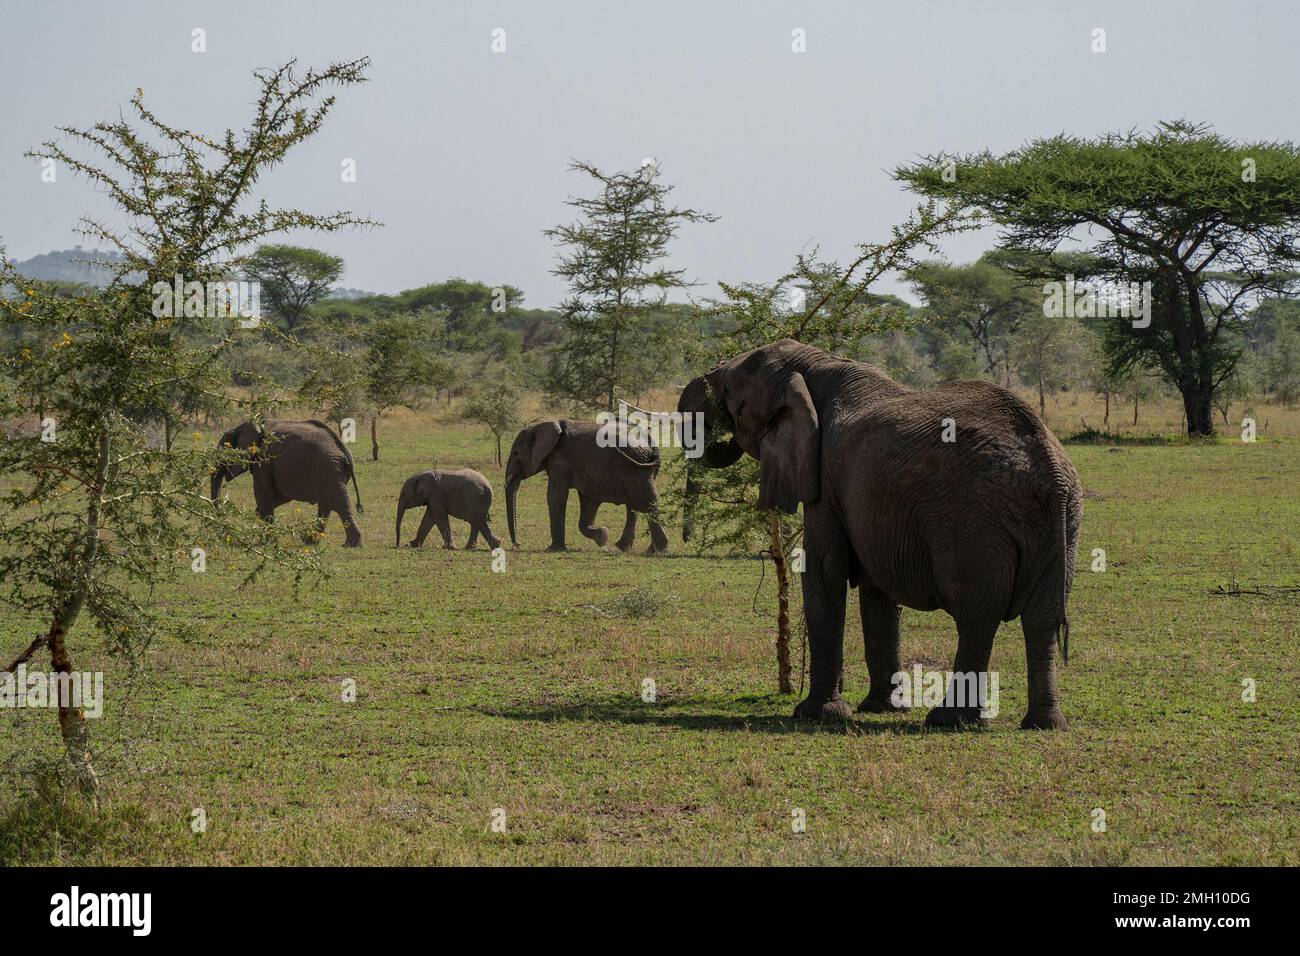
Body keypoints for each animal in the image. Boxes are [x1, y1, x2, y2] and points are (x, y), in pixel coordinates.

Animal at [211, 419, 364, 547]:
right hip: (333, 471)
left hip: (328, 468)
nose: (222, 535)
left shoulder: (263, 461)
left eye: (224, 446)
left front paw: (267, 543)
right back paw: (309, 541)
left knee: (339, 504)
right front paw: (259, 517)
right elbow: (280, 496)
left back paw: (350, 545)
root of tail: (344, 451)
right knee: (327, 505)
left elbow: (264, 495)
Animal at [504, 419, 669, 554]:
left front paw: (553, 549)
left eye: (516, 453)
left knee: (647, 501)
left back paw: (660, 550)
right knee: (634, 504)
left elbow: (556, 496)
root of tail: (650, 441)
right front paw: (602, 537)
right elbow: (588, 502)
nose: (517, 545)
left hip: (636, 466)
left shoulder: (559, 461)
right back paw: (631, 548)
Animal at [678, 339, 1082, 730]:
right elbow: (877, 589)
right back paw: (1044, 724)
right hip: (1065, 524)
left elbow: (824, 570)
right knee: (1042, 619)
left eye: (732, 396)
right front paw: (880, 708)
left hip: (975, 522)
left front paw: (817, 714)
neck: (814, 363)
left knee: (977, 615)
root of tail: (1050, 472)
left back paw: (949, 720)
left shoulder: (826, 475)